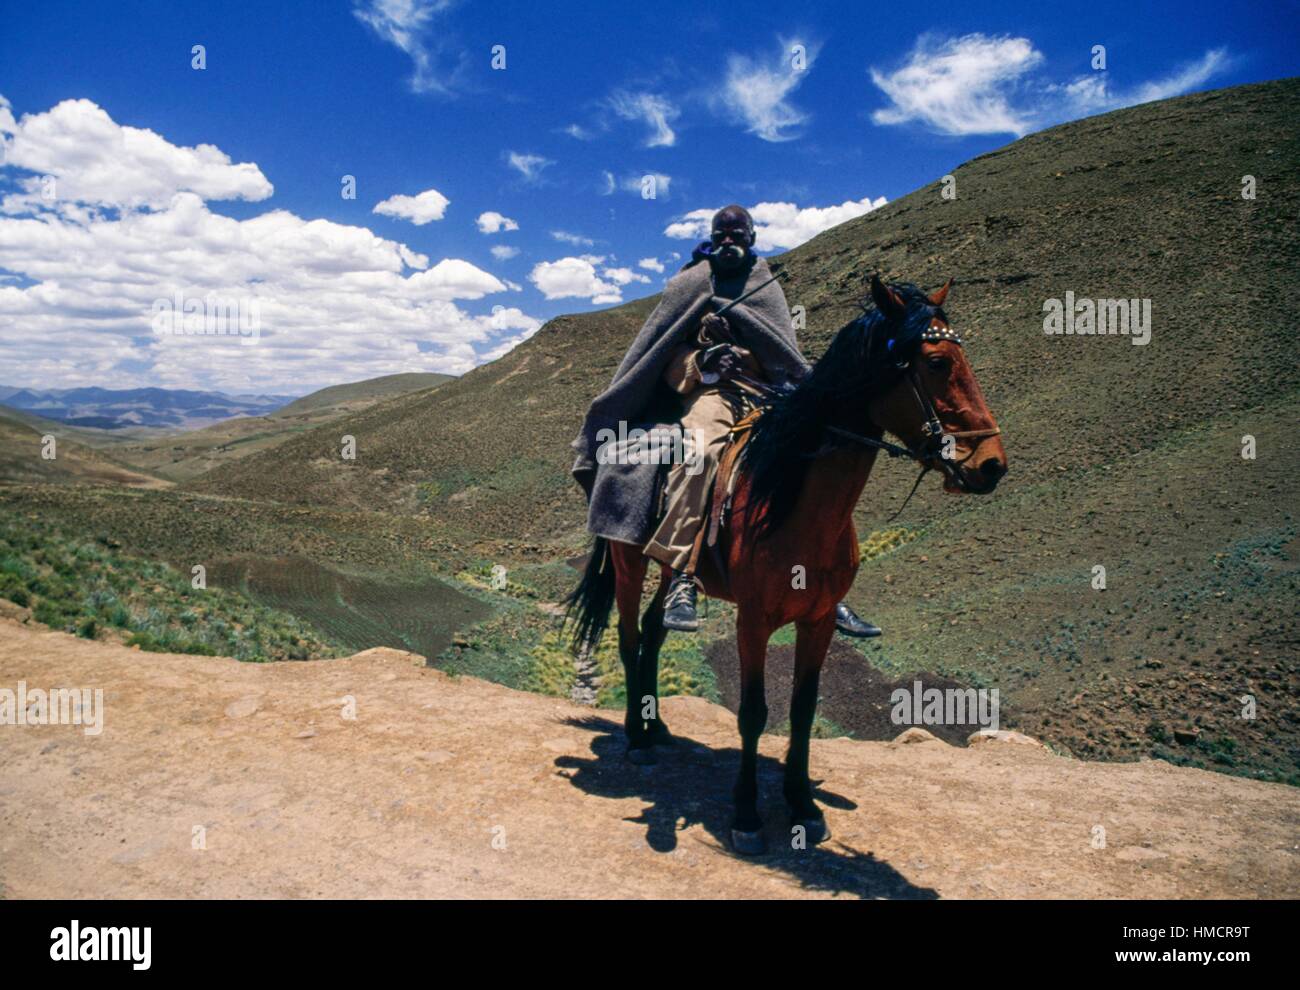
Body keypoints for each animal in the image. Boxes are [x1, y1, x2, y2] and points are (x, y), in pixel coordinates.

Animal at [565, 275, 1007, 855]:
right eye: (936, 362)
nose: (992, 466)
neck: (791, 500)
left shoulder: (817, 621)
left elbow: (803, 709)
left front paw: (802, 803)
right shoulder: (752, 620)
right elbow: (753, 713)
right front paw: (747, 814)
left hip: (668, 564)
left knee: (658, 628)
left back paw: (656, 722)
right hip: (628, 558)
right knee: (629, 636)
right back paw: (637, 740)